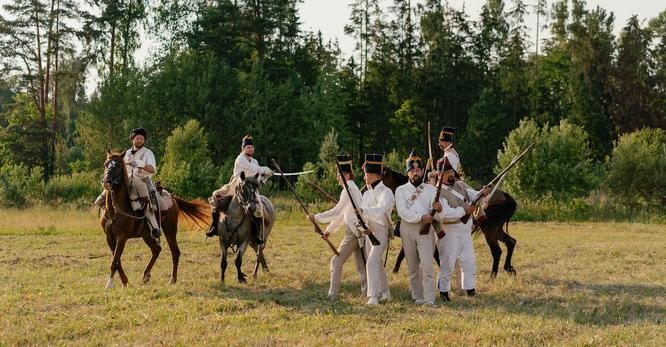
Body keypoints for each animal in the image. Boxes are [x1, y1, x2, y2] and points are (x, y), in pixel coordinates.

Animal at [100, 151, 209, 290]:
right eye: (106, 164)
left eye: (119, 165)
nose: (106, 181)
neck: (115, 210)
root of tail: (172, 198)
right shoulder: (109, 237)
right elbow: (117, 260)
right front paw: (124, 282)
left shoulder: (122, 237)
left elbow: (115, 261)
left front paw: (109, 284)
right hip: (147, 235)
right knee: (156, 250)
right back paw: (146, 276)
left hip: (170, 230)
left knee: (175, 252)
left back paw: (172, 279)